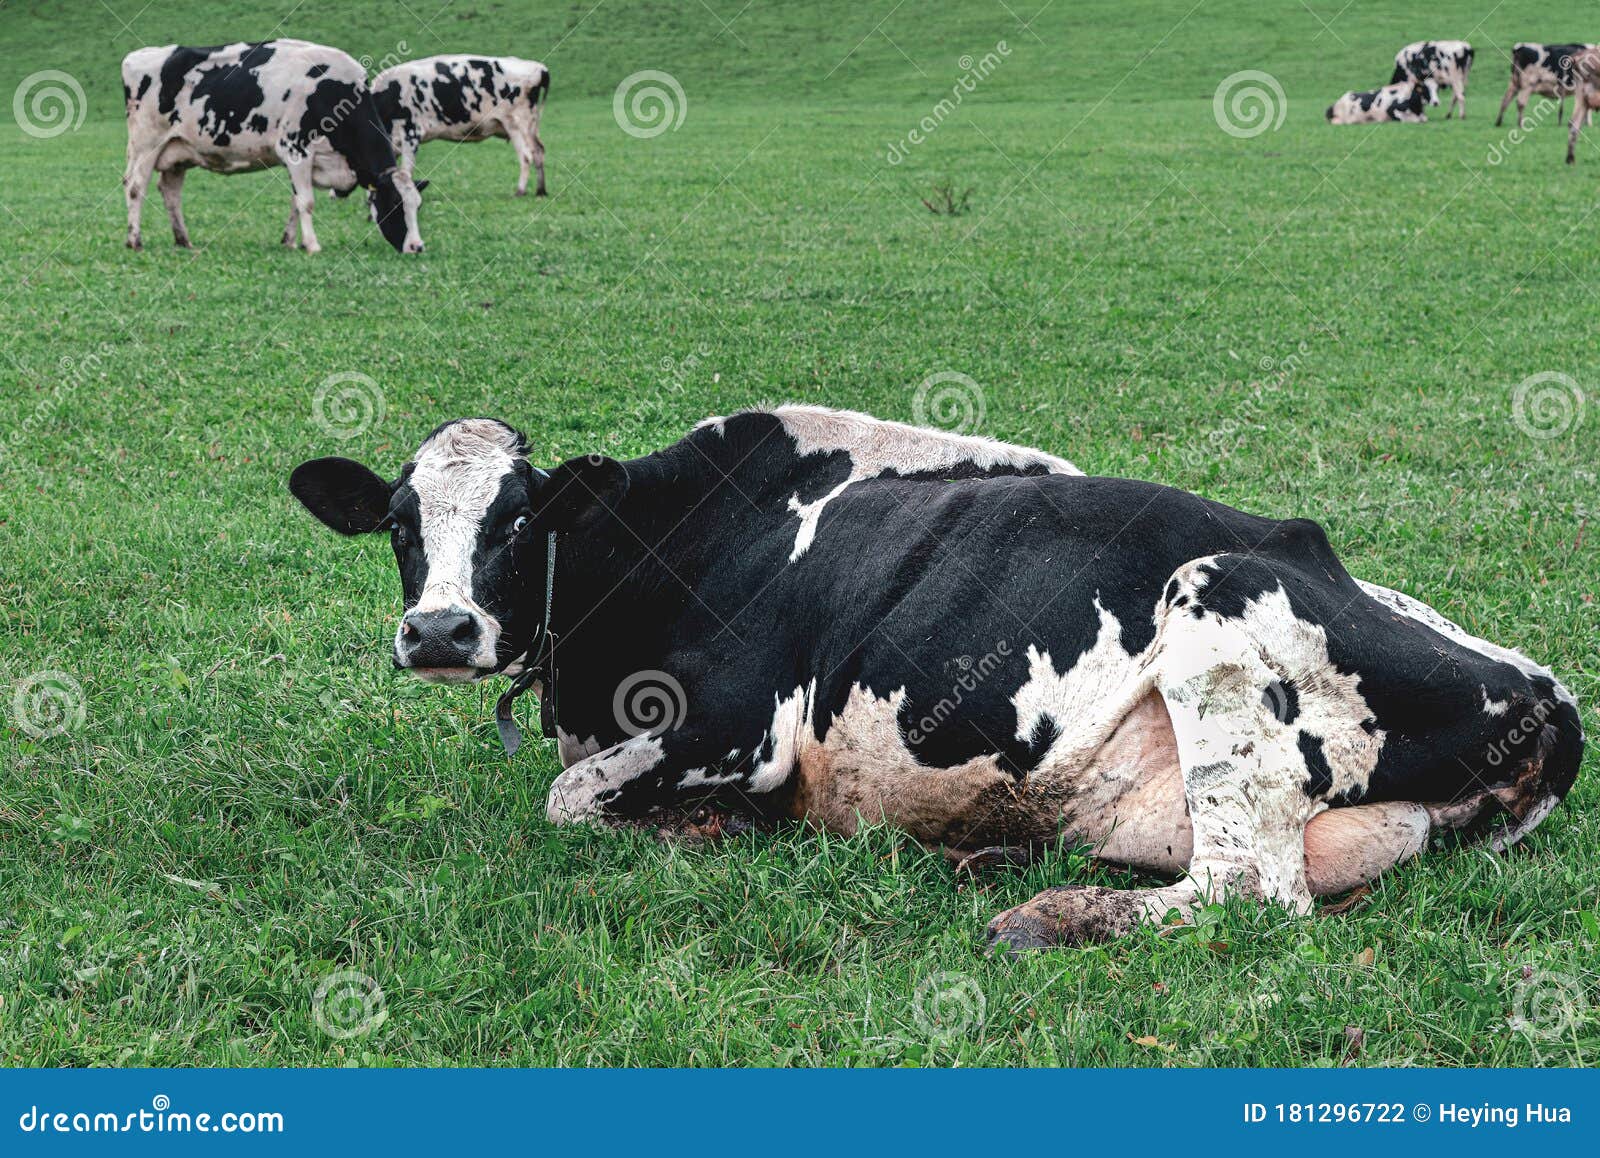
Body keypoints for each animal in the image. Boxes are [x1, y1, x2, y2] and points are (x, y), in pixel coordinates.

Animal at [122, 39, 425, 254]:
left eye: (417, 206)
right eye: (395, 204)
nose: (417, 247)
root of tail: (140, 54)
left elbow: (295, 202)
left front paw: (291, 241)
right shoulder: (295, 148)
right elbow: (307, 202)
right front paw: (312, 245)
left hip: (178, 151)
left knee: (170, 192)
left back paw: (183, 240)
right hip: (146, 144)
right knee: (135, 186)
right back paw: (134, 240)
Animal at [288, 407, 1584, 951]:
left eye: (517, 521)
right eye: (400, 522)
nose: (439, 629)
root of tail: (1542, 686)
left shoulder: (737, 725)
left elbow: (568, 802)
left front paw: (699, 830)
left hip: (1210, 601)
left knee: (1246, 893)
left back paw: (1042, 914)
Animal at [372, 55, 549, 198]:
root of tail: (539, 67)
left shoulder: (411, 134)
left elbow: (406, 171)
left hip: (516, 124)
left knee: (526, 156)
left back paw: (520, 191)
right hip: (531, 126)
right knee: (538, 151)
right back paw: (540, 191)